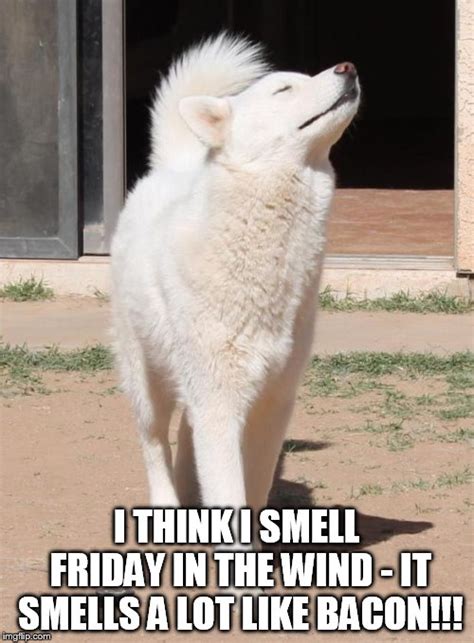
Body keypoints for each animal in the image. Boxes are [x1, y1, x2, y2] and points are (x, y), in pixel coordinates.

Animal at [111, 33, 360, 517]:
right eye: (283, 90)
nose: (348, 67)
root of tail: (173, 166)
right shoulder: (219, 404)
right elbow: (229, 492)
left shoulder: (273, 404)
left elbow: (256, 490)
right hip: (147, 382)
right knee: (154, 444)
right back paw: (167, 501)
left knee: (186, 438)